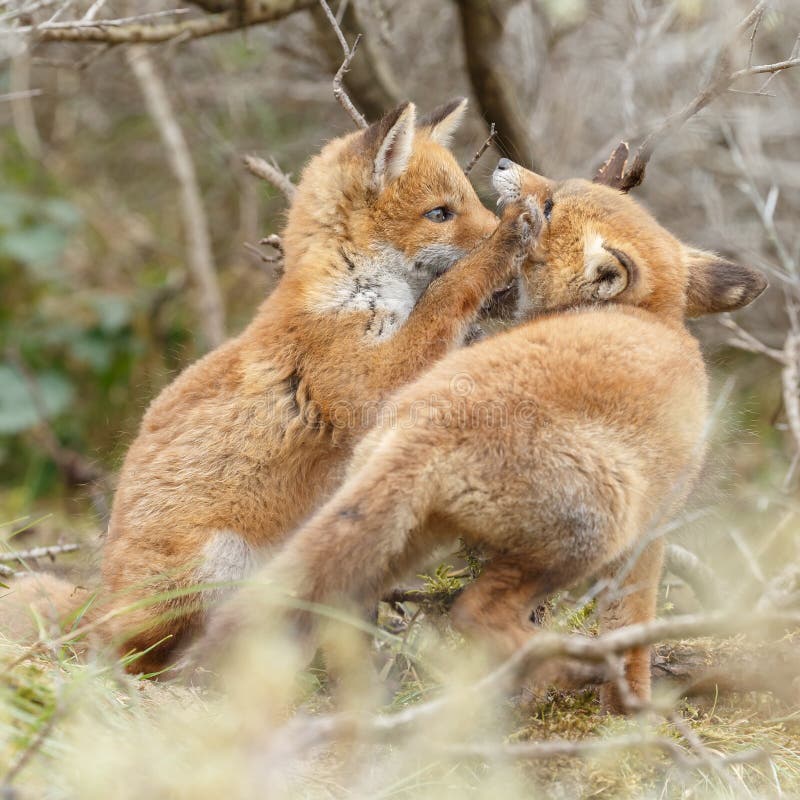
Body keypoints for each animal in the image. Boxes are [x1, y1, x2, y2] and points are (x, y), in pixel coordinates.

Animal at [199, 158, 767, 712]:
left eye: (549, 206)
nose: (504, 163)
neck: (655, 318)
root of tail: (425, 428)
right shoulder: (648, 532)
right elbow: (634, 634)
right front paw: (633, 712)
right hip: (593, 525)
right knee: (473, 611)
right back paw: (566, 666)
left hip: (404, 542)